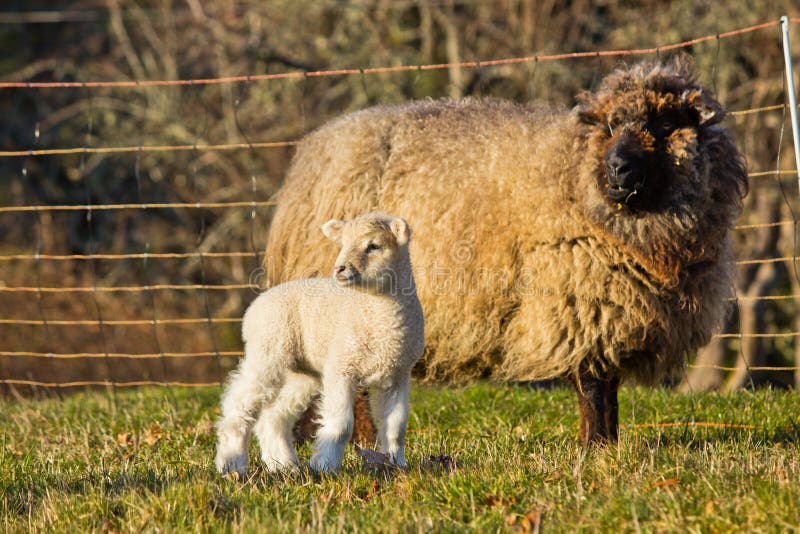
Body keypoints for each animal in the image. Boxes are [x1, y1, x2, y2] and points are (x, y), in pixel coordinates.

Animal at [216, 212, 424, 475]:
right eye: (343, 244)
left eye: (374, 246)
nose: (340, 268)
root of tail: (255, 306)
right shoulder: (341, 367)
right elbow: (341, 425)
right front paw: (325, 465)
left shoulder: (398, 374)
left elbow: (396, 426)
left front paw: (396, 465)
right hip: (267, 349)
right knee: (238, 403)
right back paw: (231, 463)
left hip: (303, 373)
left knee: (274, 416)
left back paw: (284, 465)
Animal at [264, 57, 748, 445]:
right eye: (610, 126)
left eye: (663, 125)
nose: (618, 169)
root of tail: (312, 152)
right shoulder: (581, 302)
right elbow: (593, 386)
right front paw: (595, 449)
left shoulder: (609, 309)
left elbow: (607, 388)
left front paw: (609, 444)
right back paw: (360, 440)